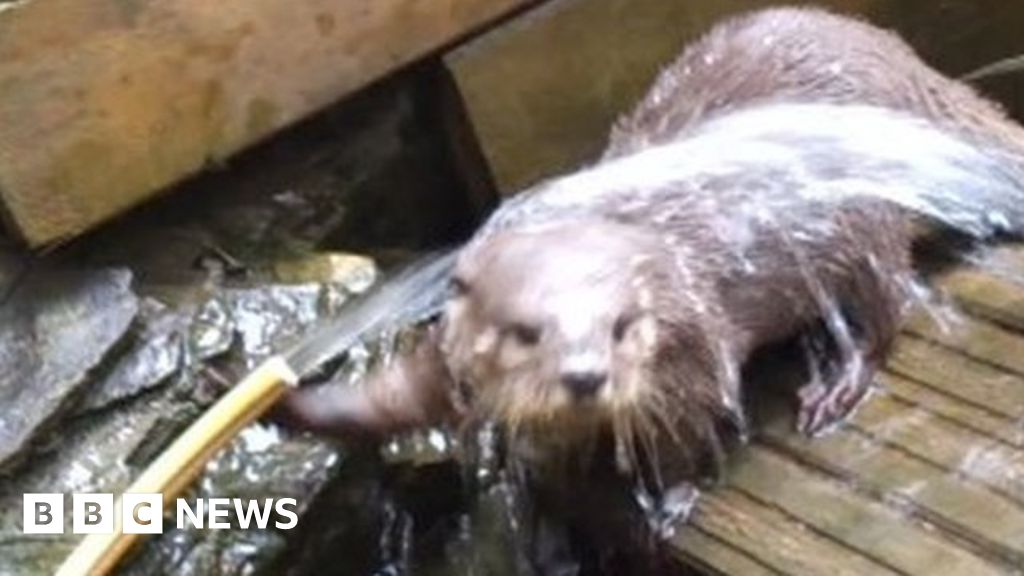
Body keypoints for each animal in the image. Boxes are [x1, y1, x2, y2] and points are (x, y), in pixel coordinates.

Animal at [276, 6, 1024, 570]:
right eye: (525, 333)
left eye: (622, 325)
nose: (585, 377)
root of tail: (904, 67)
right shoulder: (452, 357)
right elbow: (396, 398)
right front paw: (292, 405)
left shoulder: (690, 345)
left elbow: (685, 427)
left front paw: (666, 501)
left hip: (862, 219)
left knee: (882, 304)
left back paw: (834, 384)